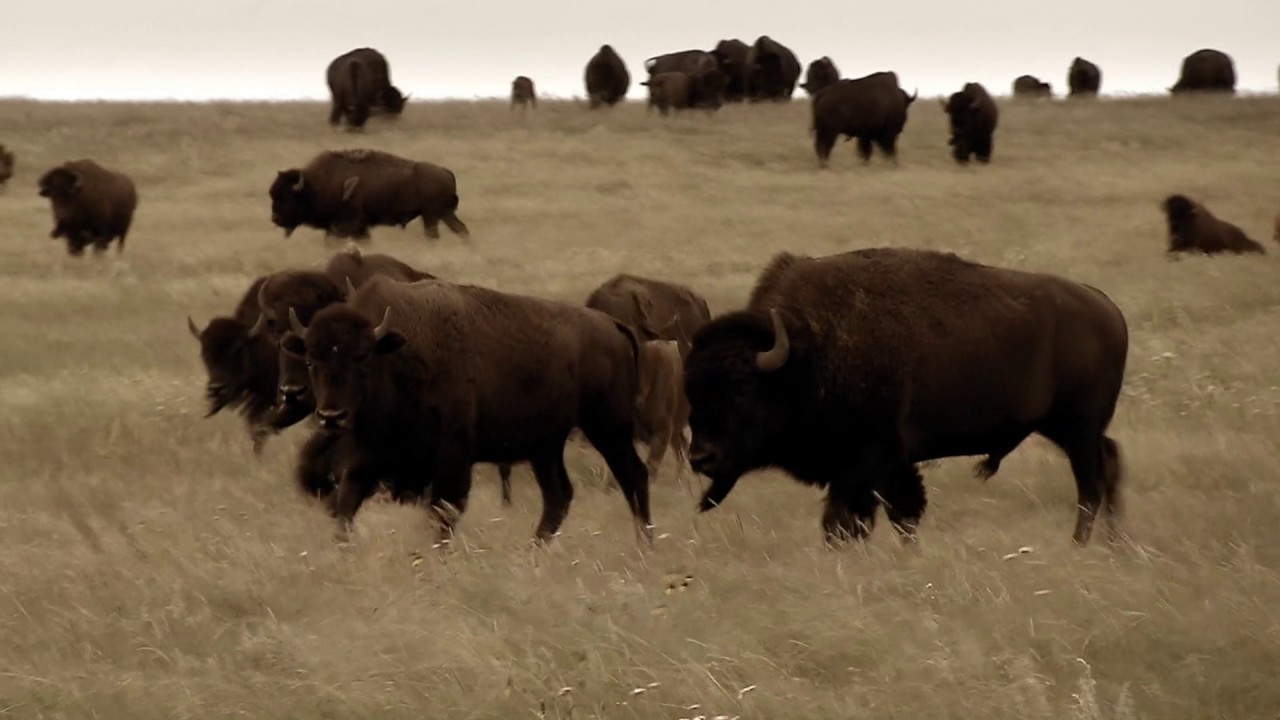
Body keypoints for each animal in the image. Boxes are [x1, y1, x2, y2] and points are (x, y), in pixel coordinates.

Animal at [269, 149, 470, 242]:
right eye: (273, 195)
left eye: (286, 196)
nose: (275, 219)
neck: (314, 185)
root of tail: (445, 171)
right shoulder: (358, 228)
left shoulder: (345, 224)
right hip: (444, 213)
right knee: (460, 228)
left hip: (431, 215)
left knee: (434, 233)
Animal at [280, 275, 653, 546]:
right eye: (311, 360)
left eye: (362, 359)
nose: (331, 416)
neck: (396, 355)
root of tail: (611, 324)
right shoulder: (366, 460)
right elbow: (346, 509)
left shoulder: (452, 459)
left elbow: (444, 515)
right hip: (546, 447)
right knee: (558, 495)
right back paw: (533, 551)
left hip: (608, 428)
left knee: (633, 475)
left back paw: (644, 546)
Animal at [684, 247, 1129, 548]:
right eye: (690, 390)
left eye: (742, 387)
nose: (701, 457)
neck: (804, 352)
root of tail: (1106, 307)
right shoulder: (883, 469)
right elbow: (899, 515)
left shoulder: (867, 462)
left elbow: (849, 522)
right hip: (1066, 428)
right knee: (1109, 463)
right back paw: (1113, 544)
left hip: (1079, 427)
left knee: (1090, 485)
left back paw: (1079, 544)